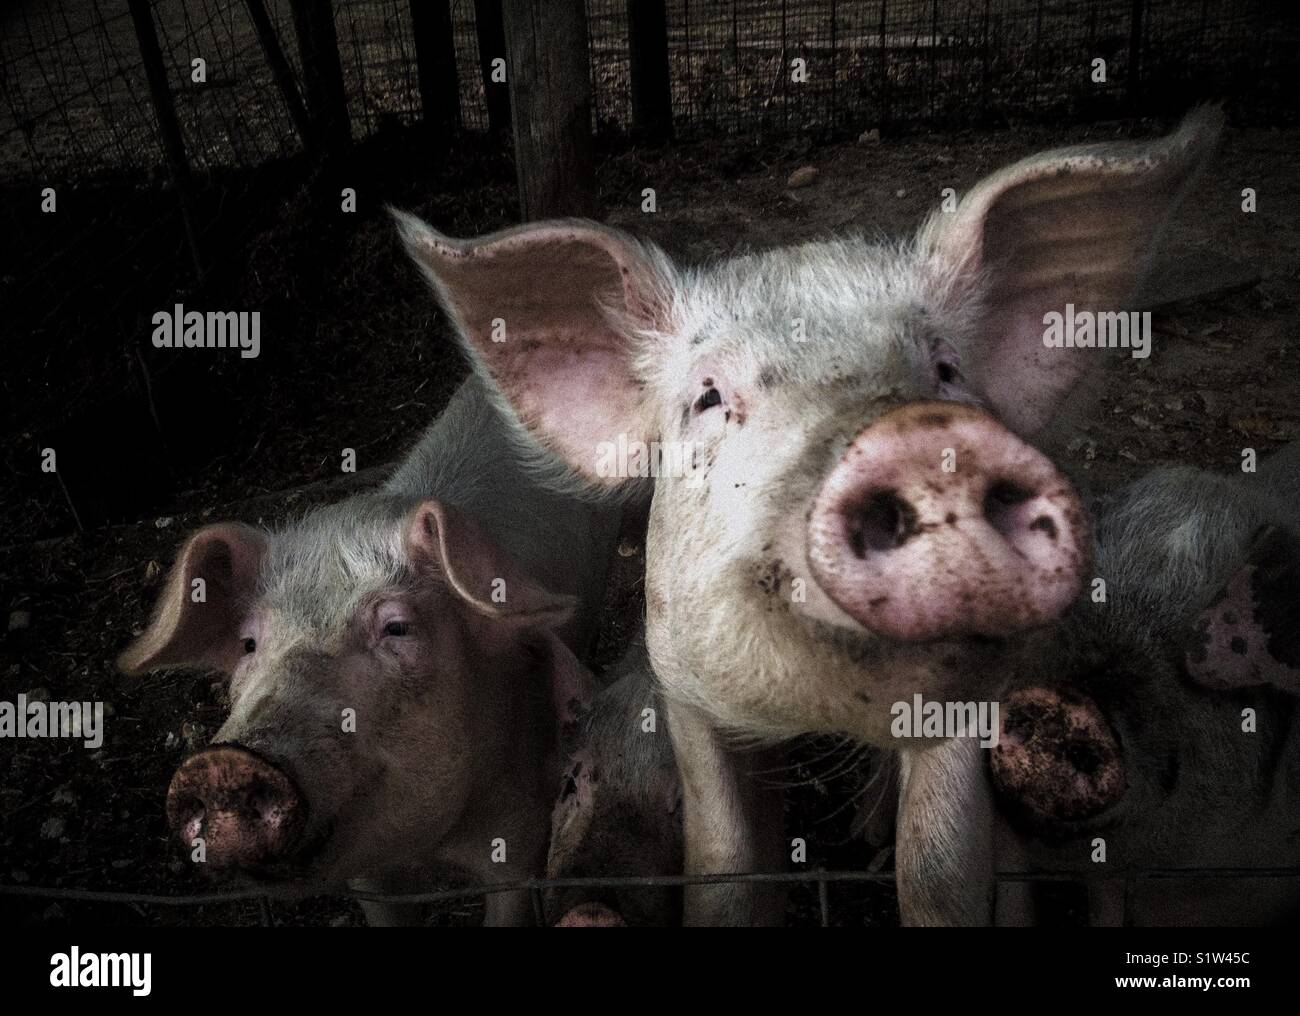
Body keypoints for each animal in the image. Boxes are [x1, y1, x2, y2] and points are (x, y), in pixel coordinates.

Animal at [118, 375, 620, 925]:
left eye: (397, 628)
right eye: (249, 643)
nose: (221, 765)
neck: (434, 846)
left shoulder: (521, 833)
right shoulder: (371, 878)